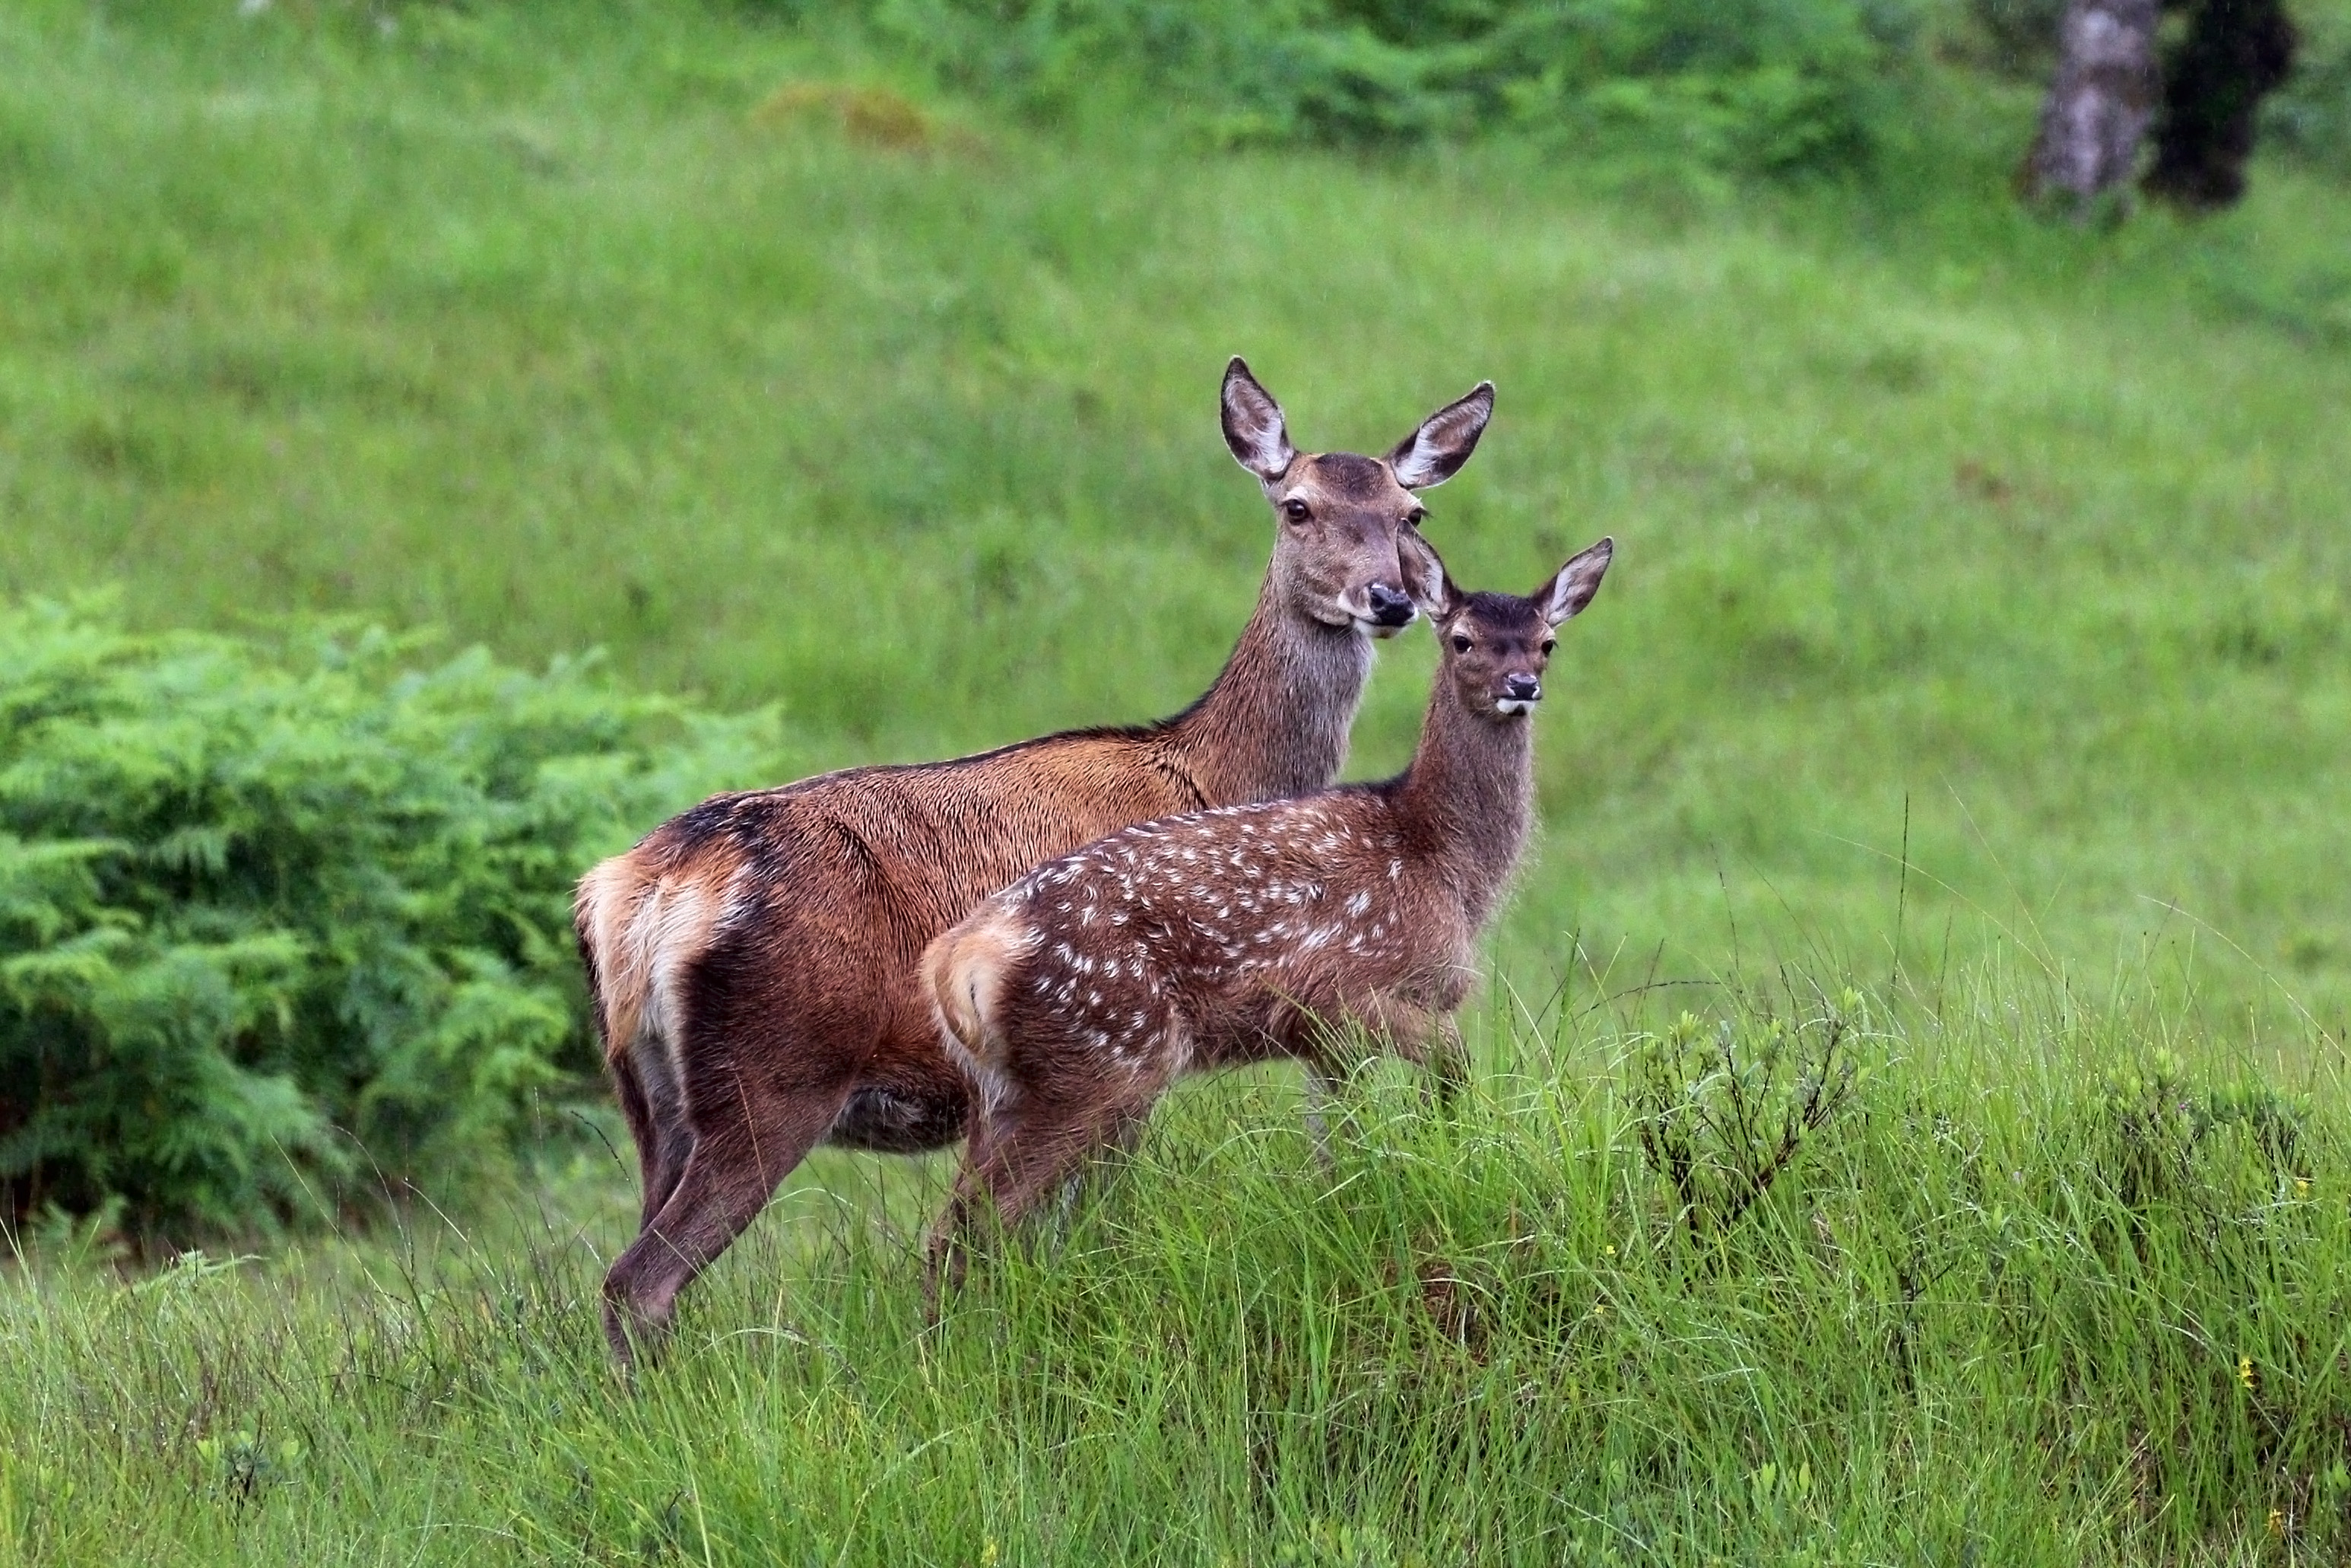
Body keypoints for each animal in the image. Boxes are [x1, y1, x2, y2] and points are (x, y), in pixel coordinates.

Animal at [574, 359, 1496, 1365]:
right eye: (1296, 507)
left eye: (1411, 514)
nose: (1389, 599)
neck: (1212, 773)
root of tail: (646, 884)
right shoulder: (1124, 1054)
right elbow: (1093, 1229)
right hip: (775, 1070)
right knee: (642, 1281)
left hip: (648, 1092)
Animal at [920, 531, 1613, 1290]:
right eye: (1462, 640)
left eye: (1547, 643)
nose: (1521, 686)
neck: (1440, 860)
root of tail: (958, 961)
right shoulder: (1348, 990)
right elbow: (1454, 1064)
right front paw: (1448, 1151)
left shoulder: (1325, 1044)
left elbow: (1337, 1147)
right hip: (1103, 1056)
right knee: (981, 1223)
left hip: (1010, 1085)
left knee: (958, 1224)